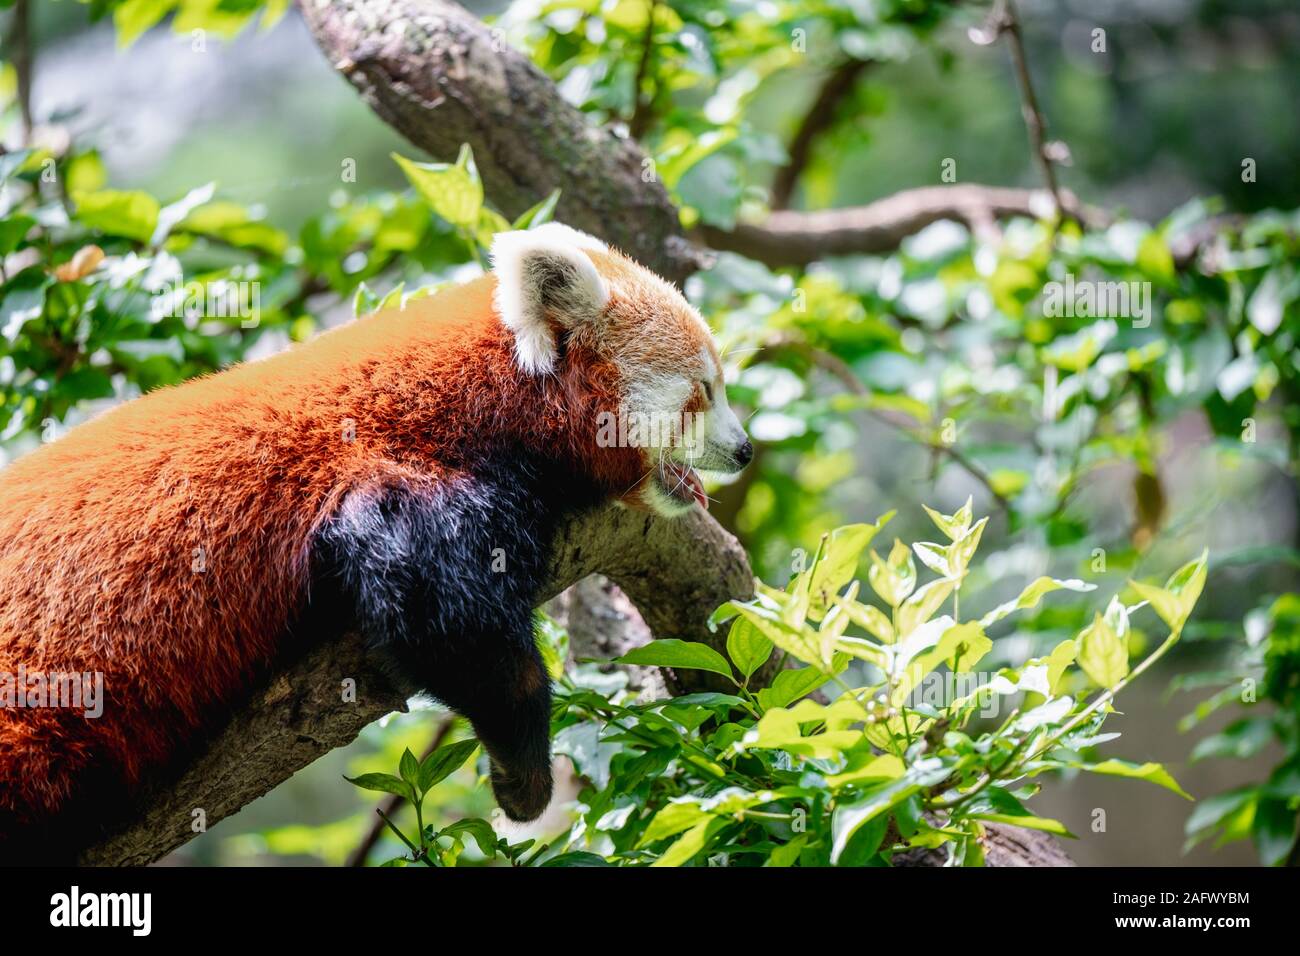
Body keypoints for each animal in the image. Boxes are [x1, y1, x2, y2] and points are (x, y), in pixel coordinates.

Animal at [0, 223, 752, 858]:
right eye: (703, 390)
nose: (745, 450)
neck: (484, 394)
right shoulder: (391, 470)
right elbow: (443, 611)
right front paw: (522, 771)